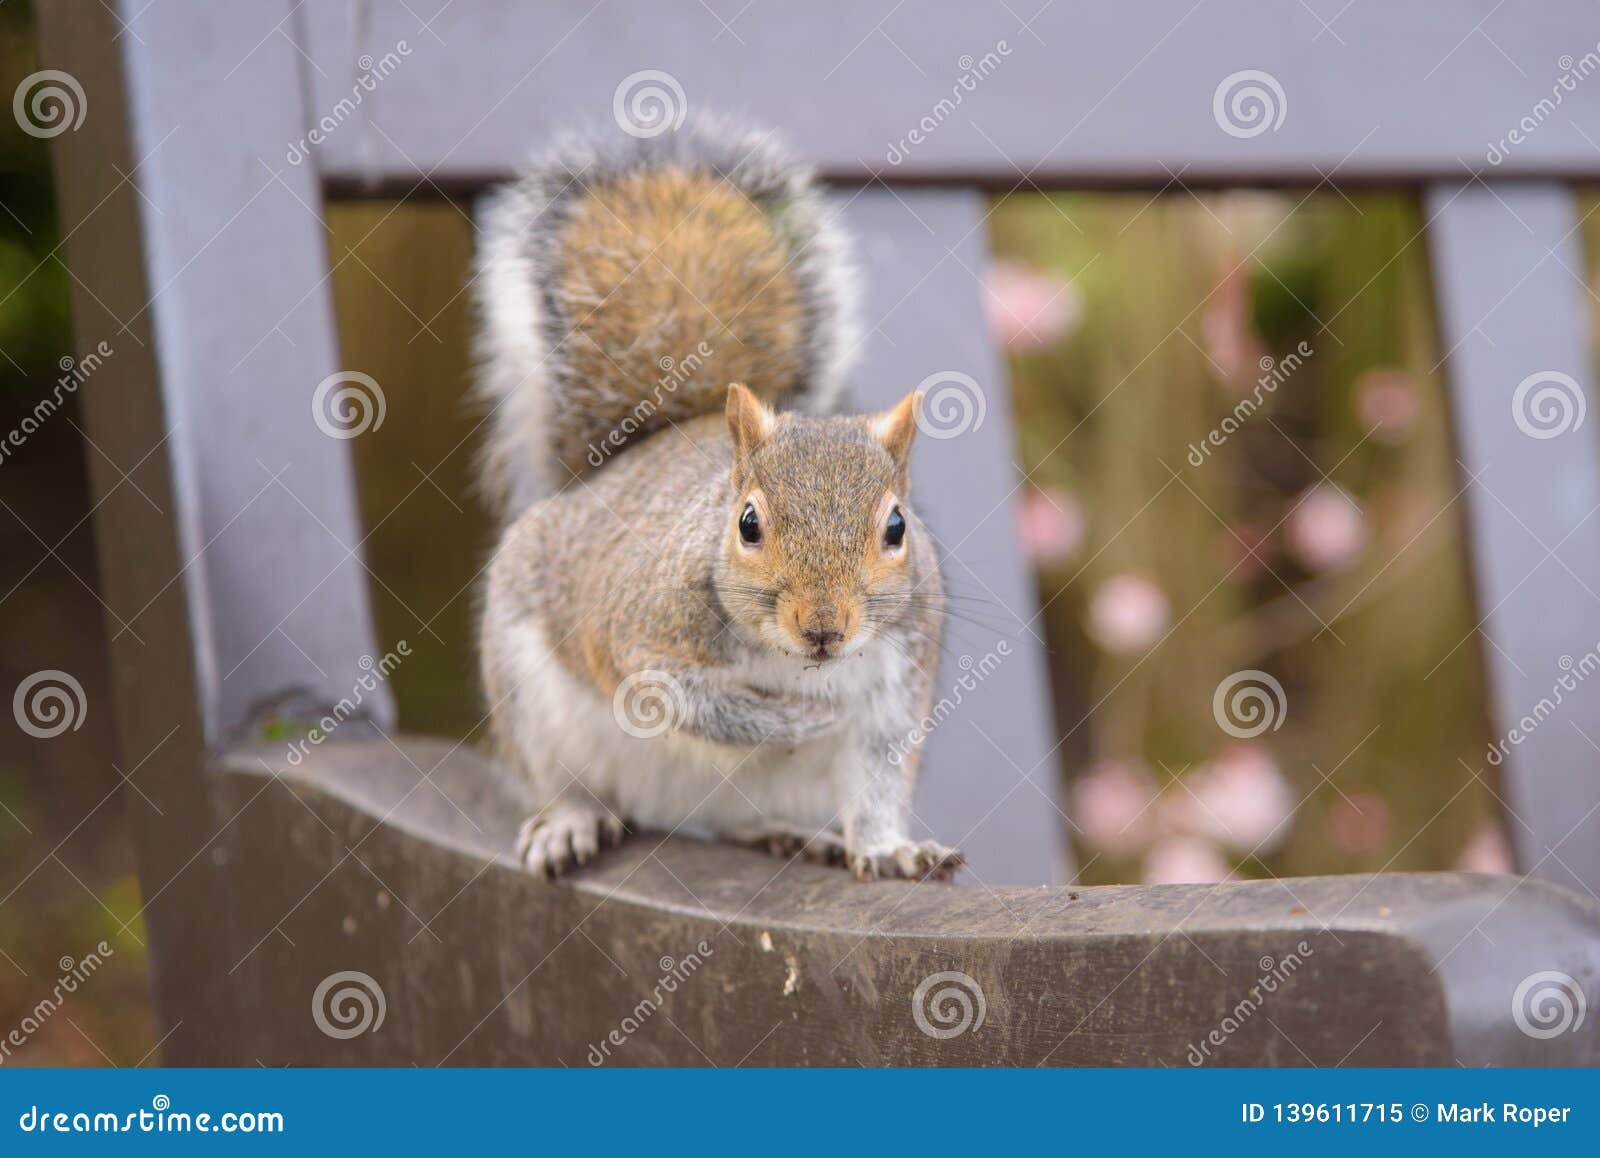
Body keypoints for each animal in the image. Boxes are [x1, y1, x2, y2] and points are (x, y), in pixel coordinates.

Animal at [474, 119, 961, 883]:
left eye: (896, 527)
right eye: (748, 524)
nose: (825, 629)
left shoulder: (896, 680)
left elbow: (878, 780)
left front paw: (889, 849)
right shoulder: (640, 635)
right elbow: (684, 700)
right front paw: (796, 719)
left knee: (741, 820)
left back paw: (786, 835)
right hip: (530, 697)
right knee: (565, 783)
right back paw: (572, 821)